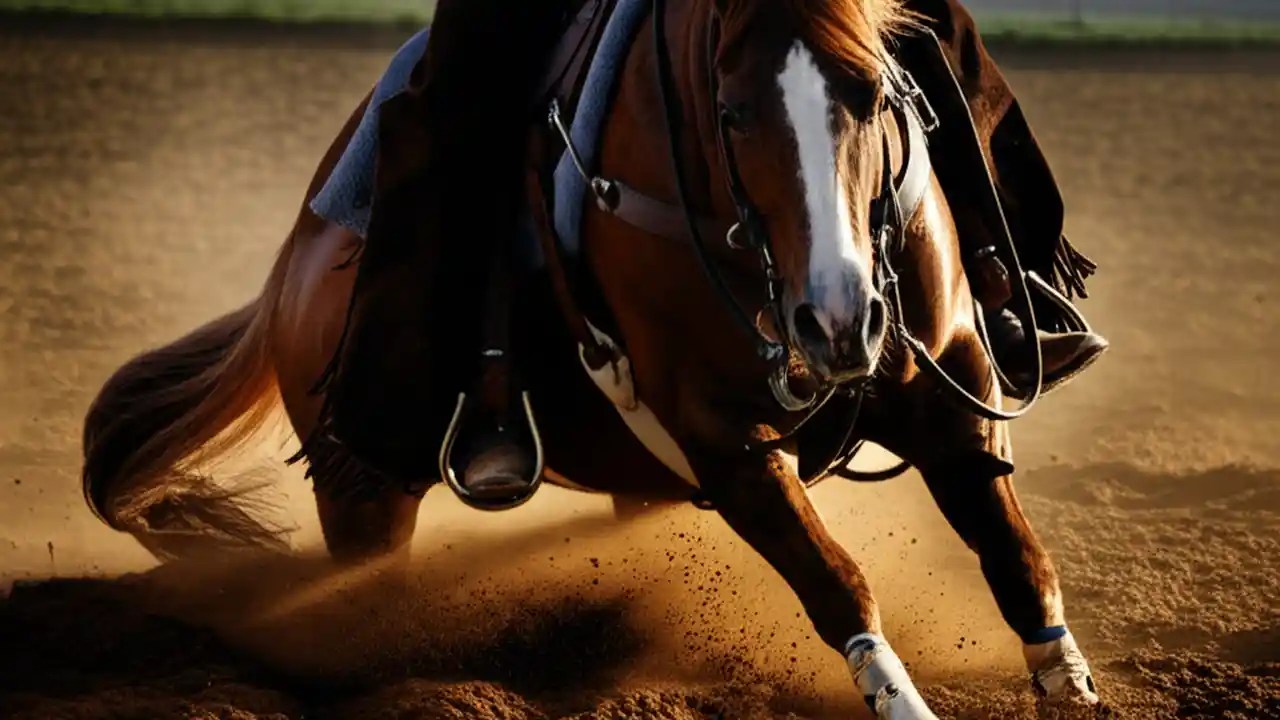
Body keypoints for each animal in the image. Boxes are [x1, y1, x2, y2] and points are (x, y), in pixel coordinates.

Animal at [79, 0, 1103, 716]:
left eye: (873, 94)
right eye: (733, 112)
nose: (837, 322)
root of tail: (294, 263)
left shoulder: (955, 391)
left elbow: (1019, 558)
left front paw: (1074, 687)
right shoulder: (725, 442)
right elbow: (840, 586)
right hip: (359, 488)